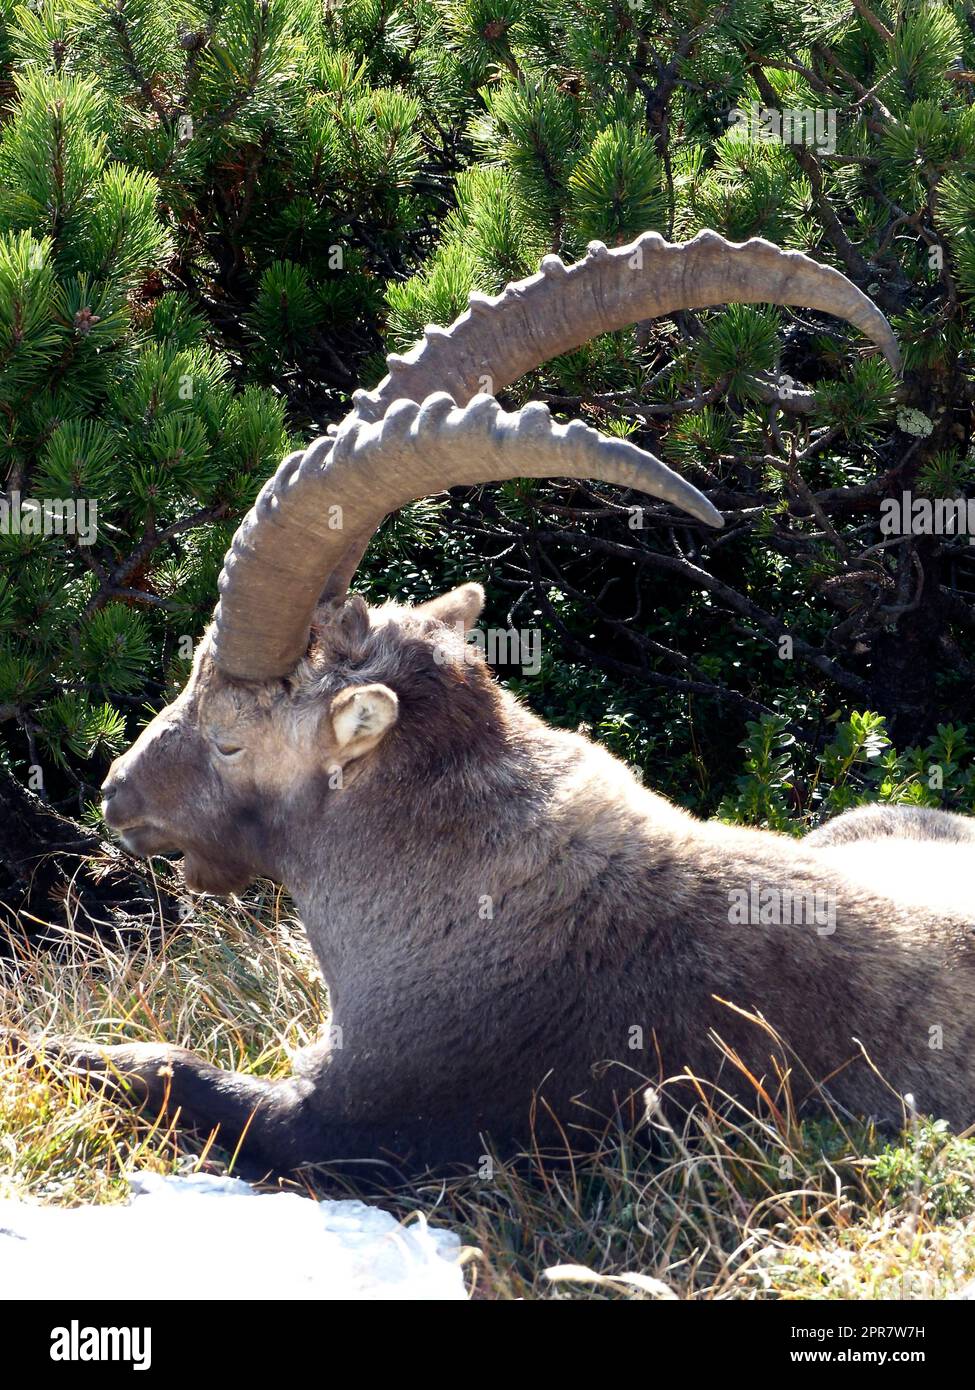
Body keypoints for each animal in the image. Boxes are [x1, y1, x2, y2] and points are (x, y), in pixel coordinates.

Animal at [18, 231, 975, 1177]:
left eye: (227, 740)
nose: (116, 792)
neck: (468, 884)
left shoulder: (363, 1125)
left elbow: (171, 1074)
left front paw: (45, 1048)